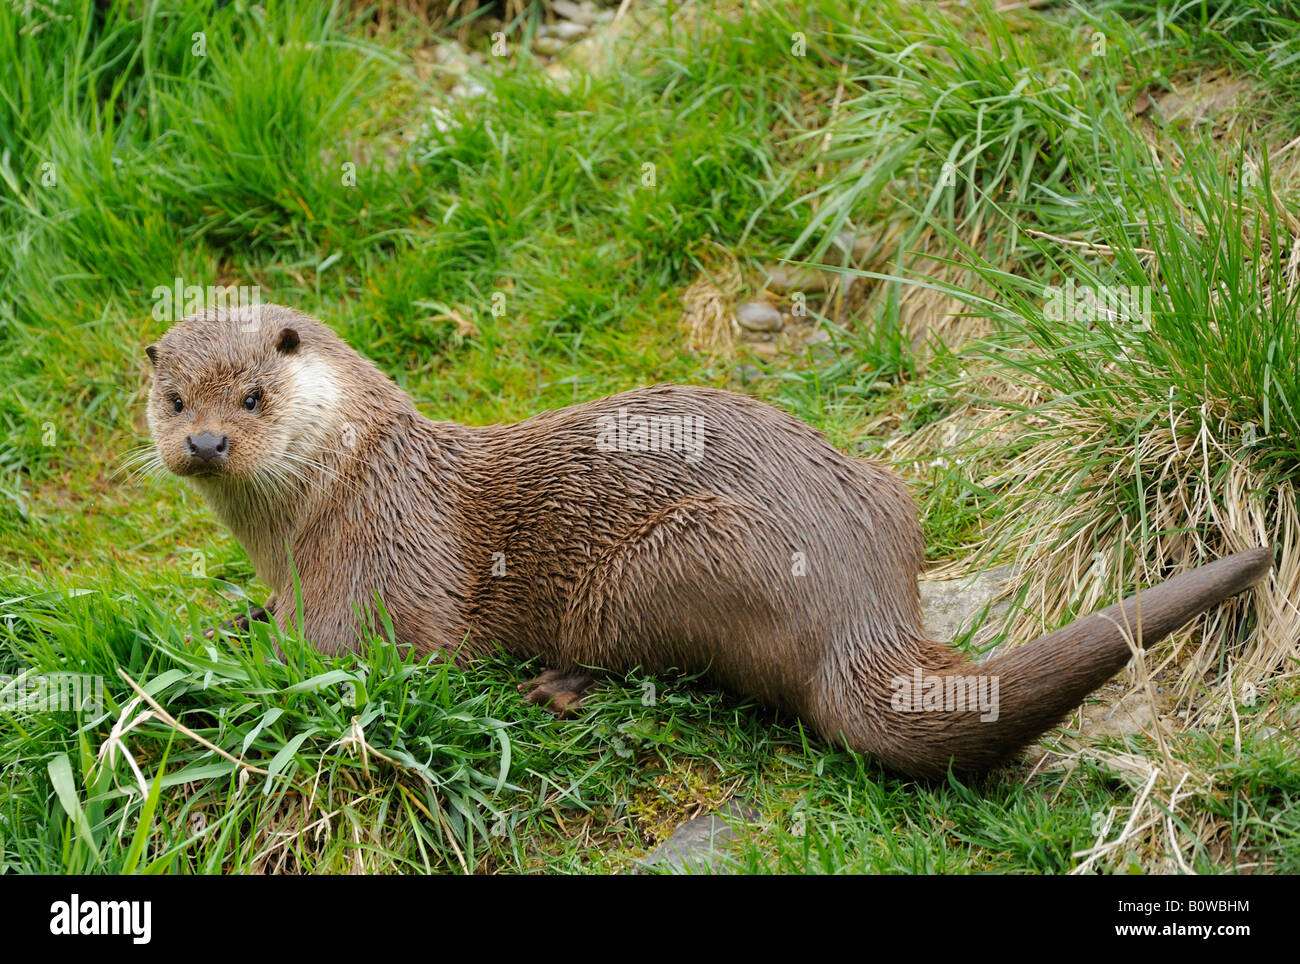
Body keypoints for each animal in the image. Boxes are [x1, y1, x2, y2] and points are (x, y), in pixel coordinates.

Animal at [144, 304, 1273, 779]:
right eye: (172, 398)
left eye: (252, 395)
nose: (204, 440)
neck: (334, 498)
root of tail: (862, 615)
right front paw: (237, 617)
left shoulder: (385, 568)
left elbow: (361, 659)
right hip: (886, 489)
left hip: (681, 559)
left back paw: (561, 684)